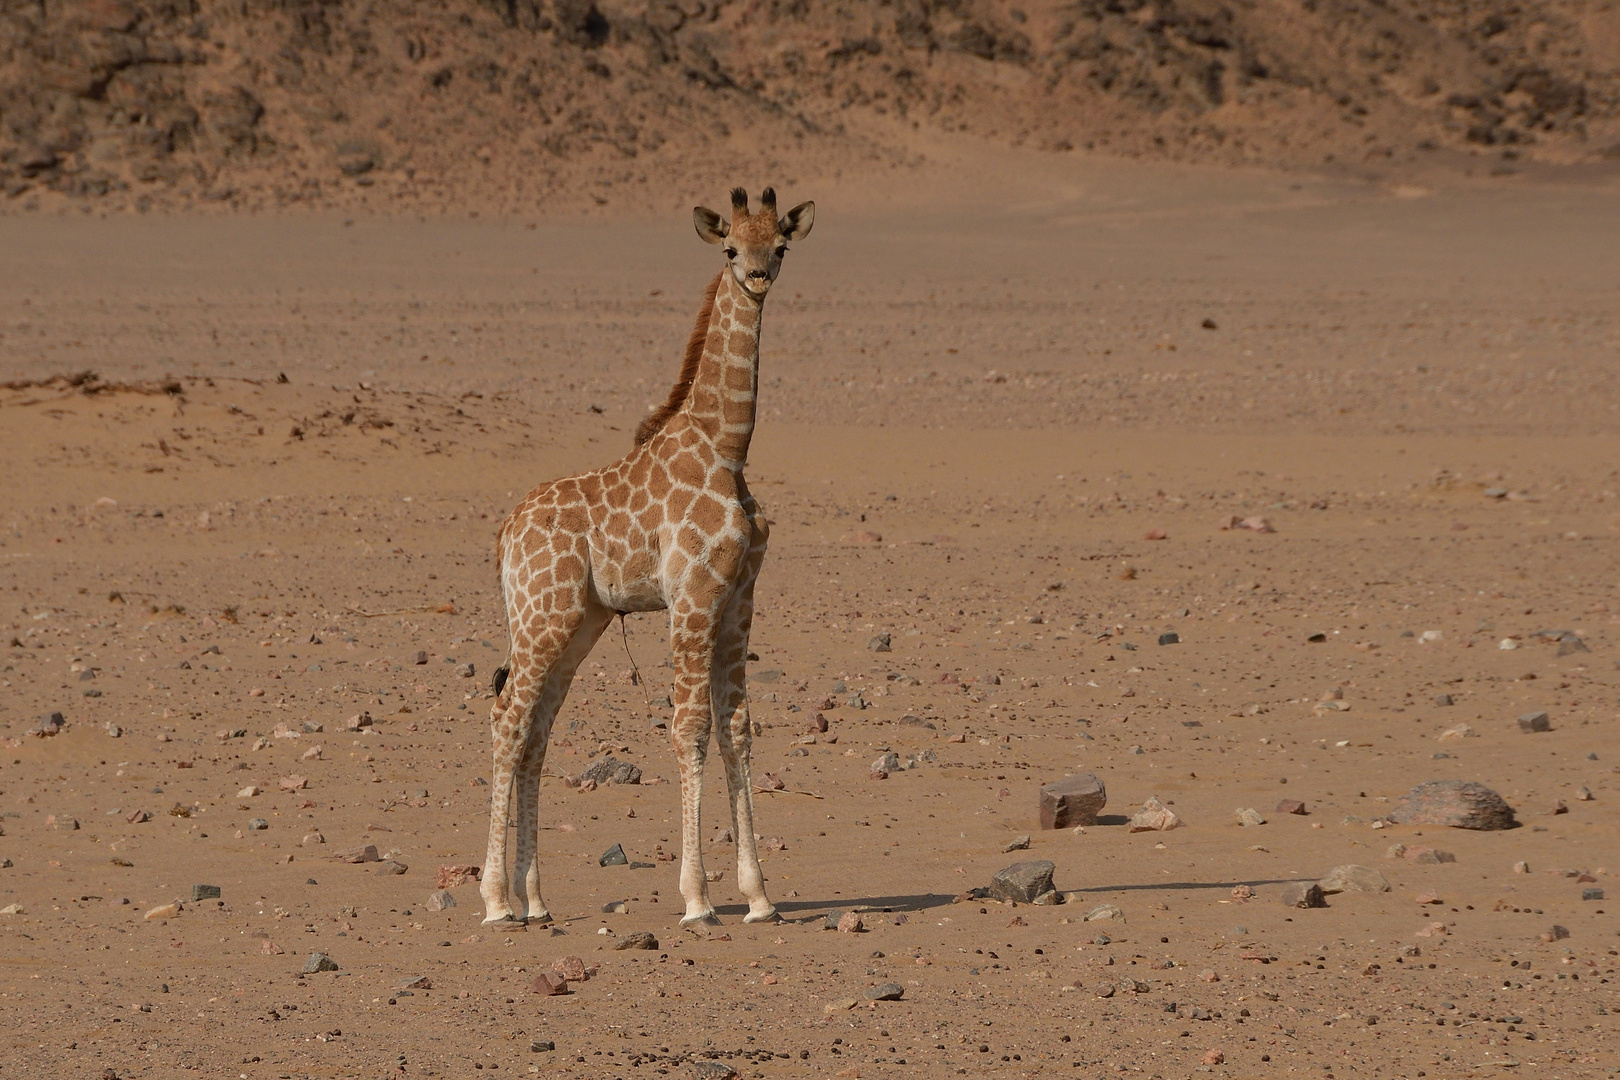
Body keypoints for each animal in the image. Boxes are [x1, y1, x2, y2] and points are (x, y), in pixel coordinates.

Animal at [476, 186, 810, 932]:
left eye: (780, 245)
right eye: (729, 248)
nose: (757, 278)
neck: (728, 447)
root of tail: (506, 533)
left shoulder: (739, 598)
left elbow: (737, 729)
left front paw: (759, 896)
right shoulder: (691, 595)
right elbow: (689, 727)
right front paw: (696, 899)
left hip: (579, 623)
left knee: (538, 732)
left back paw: (536, 900)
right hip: (540, 617)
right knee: (508, 719)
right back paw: (495, 901)